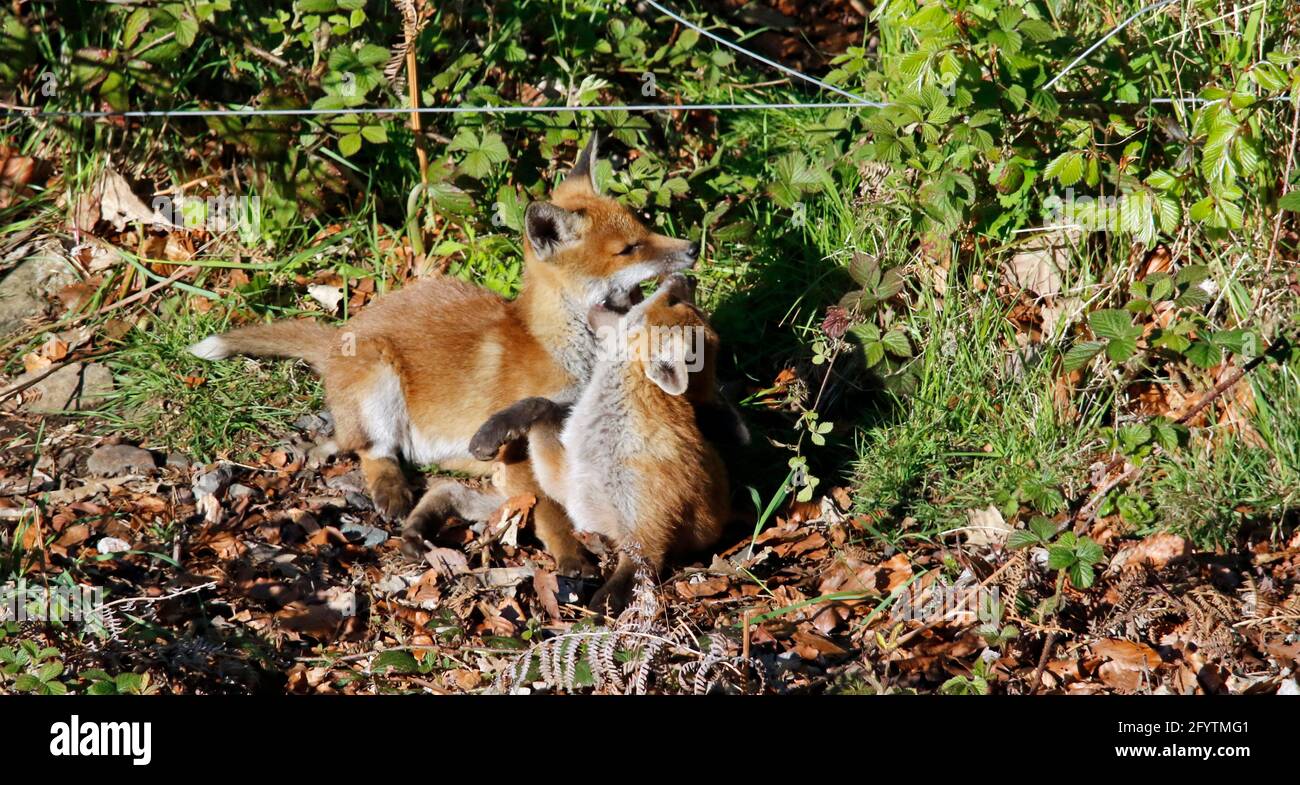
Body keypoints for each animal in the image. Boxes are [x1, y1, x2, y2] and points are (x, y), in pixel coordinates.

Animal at [188, 134, 699, 574]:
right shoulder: (517, 449)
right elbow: (549, 511)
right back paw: (393, 492)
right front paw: (571, 558)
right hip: (379, 379)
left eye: (644, 228)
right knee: (369, 451)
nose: (693, 247)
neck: (568, 356)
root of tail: (342, 334)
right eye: (629, 249)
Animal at [468, 273, 732, 613]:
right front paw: (493, 431)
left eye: (675, 301)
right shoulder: (567, 482)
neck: (604, 443)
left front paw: (595, 614)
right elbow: (539, 405)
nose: (690, 276)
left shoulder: (648, 529)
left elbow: (627, 578)